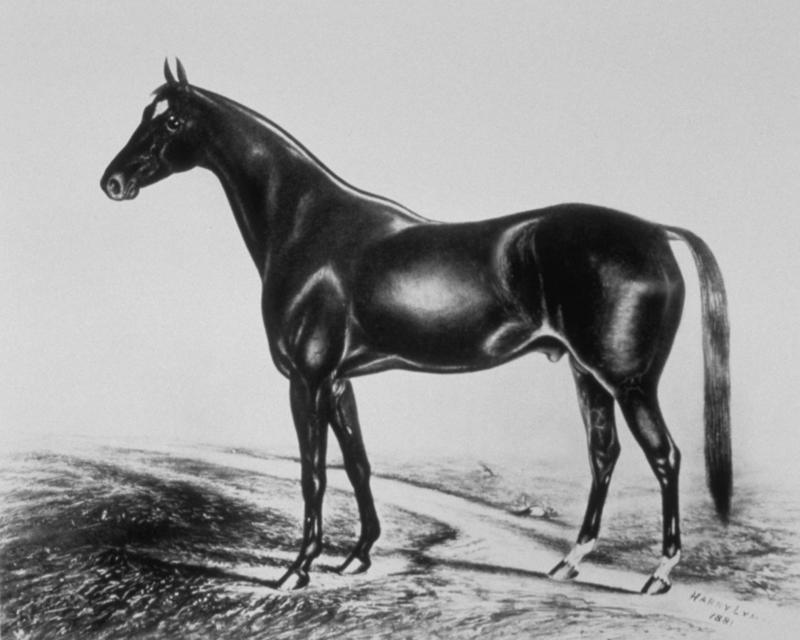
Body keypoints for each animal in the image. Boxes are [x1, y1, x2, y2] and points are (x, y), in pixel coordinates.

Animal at [101, 60, 730, 595]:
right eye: (144, 114)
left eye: (171, 120)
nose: (113, 182)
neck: (307, 225)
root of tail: (655, 233)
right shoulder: (338, 382)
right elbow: (357, 463)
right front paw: (356, 556)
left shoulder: (307, 380)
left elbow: (313, 473)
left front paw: (297, 569)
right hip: (586, 376)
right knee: (604, 455)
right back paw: (569, 562)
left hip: (627, 382)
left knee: (666, 458)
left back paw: (659, 574)